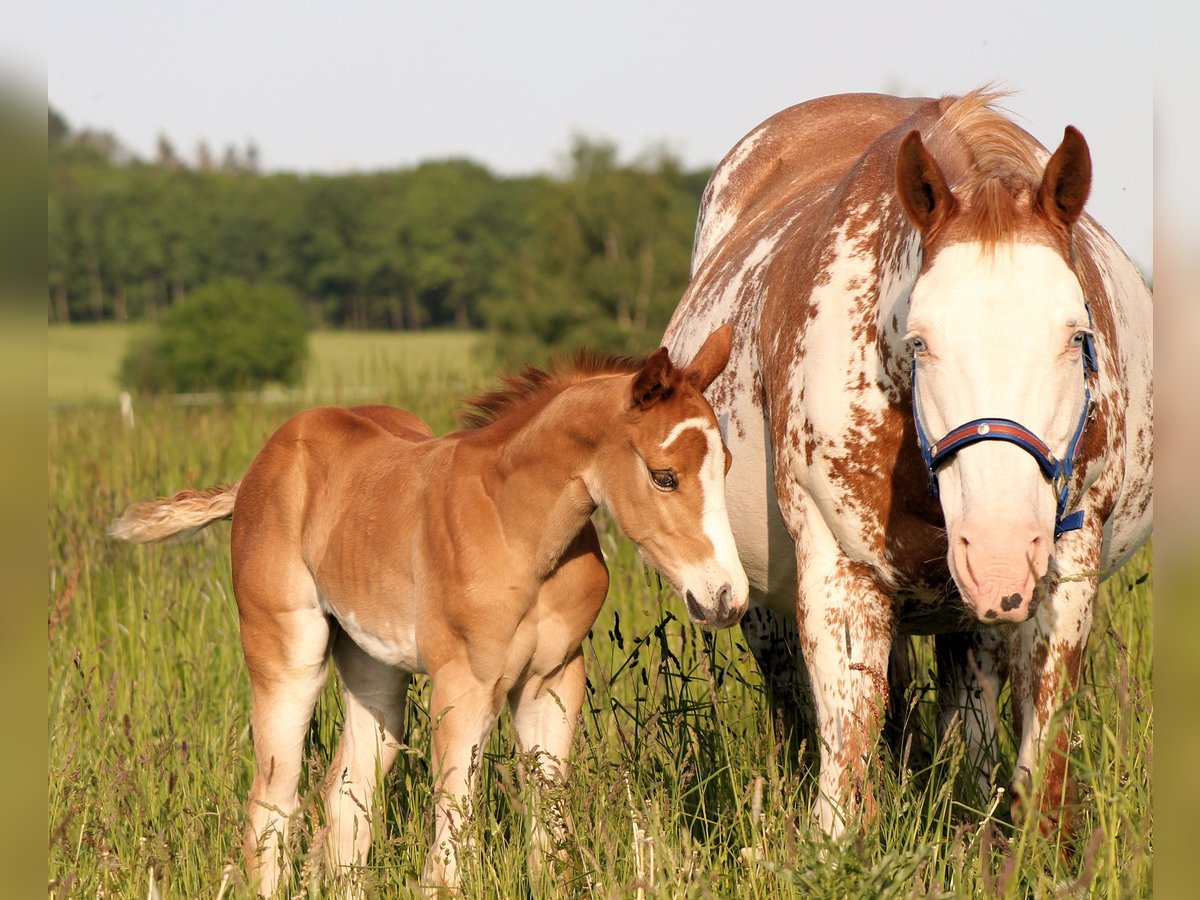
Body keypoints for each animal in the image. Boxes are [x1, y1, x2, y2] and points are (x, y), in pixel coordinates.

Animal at [109, 326, 749, 896]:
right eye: (664, 476)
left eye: (726, 465)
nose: (726, 597)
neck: (519, 527)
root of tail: (255, 472)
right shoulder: (464, 684)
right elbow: (451, 834)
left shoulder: (552, 680)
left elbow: (550, 829)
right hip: (286, 657)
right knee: (274, 797)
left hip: (374, 671)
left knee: (347, 795)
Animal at [663, 90, 1152, 837]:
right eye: (920, 341)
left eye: (1078, 335)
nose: (1000, 551)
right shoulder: (839, 575)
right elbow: (845, 783)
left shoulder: (1066, 566)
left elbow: (1041, 770)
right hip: (763, 611)